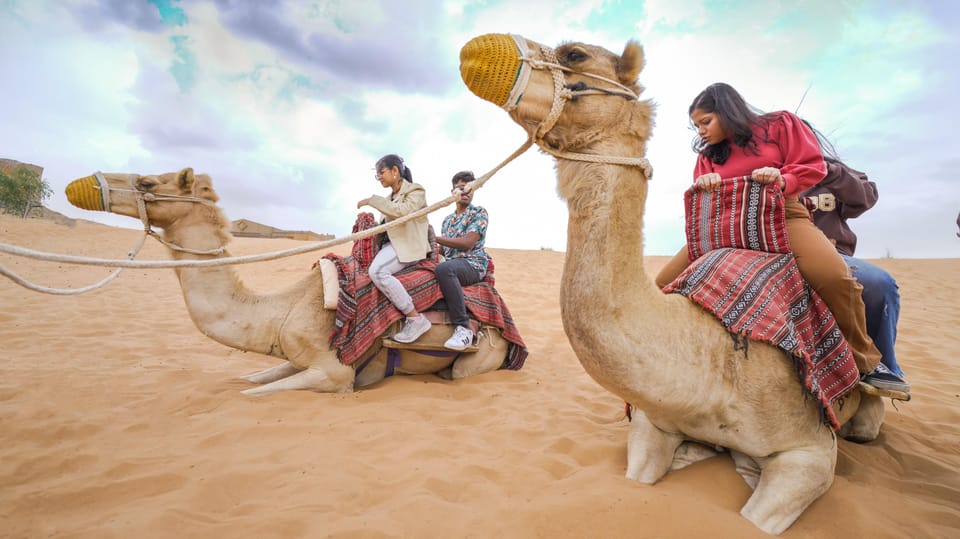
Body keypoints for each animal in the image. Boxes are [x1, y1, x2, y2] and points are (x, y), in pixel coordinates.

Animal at [63, 169, 511, 395]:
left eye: (148, 183)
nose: (81, 184)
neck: (281, 310)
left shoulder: (334, 372)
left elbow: (249, 395)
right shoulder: (293, 357)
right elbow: (246, 381)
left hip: (480, 356)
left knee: (460, 373)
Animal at [458, 33, 885, 535]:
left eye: (575, 55)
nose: (477, 50)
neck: (714, 362)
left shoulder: (812, 452)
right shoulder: (654, 421)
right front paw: (697, 452)